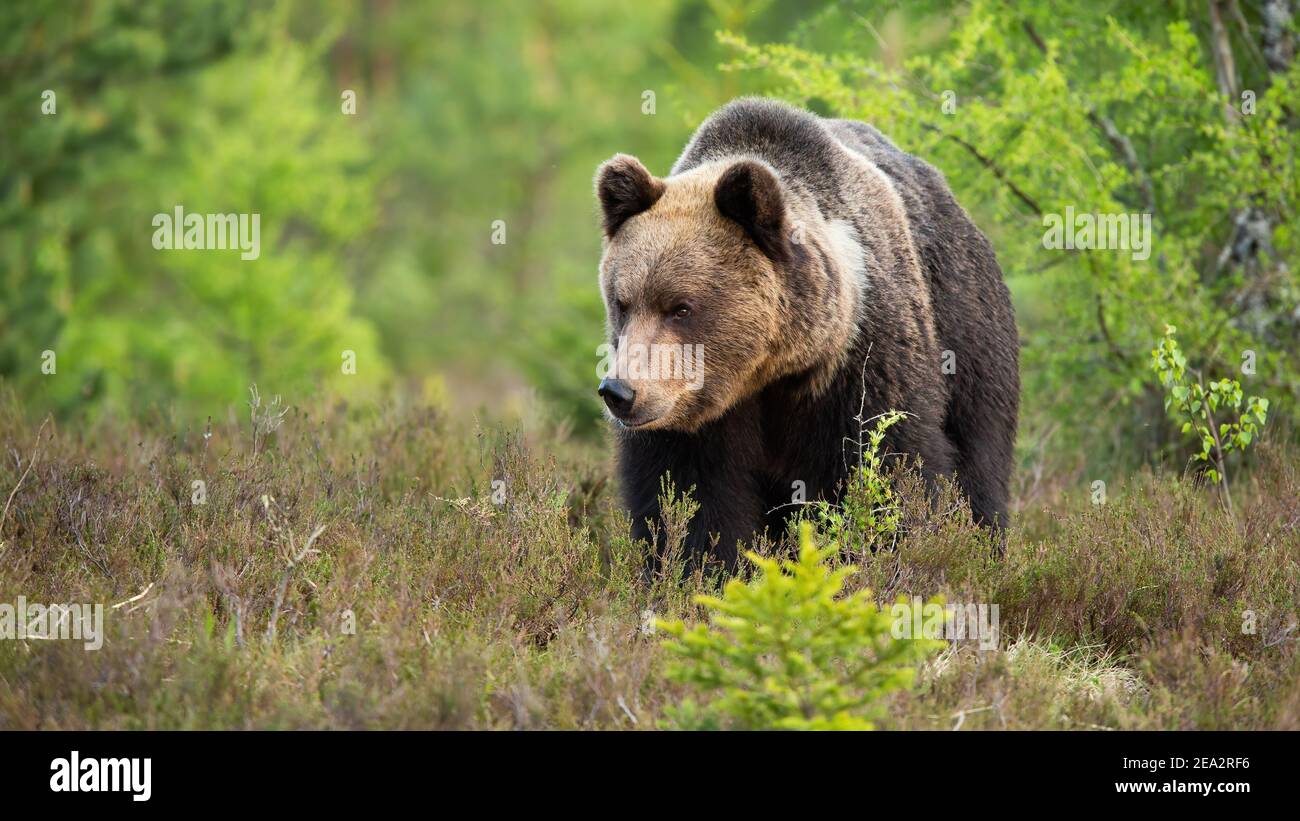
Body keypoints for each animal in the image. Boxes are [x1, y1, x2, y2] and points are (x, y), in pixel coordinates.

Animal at [594, 97, 1019, 572]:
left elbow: (886, 470)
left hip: (967, 330)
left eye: (681, 307)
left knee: (979, 461)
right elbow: (688, 501)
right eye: (622, 302)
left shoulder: (860, 365)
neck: (769, 373)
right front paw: (702, 569)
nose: (619, 391)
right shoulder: (695, 420)